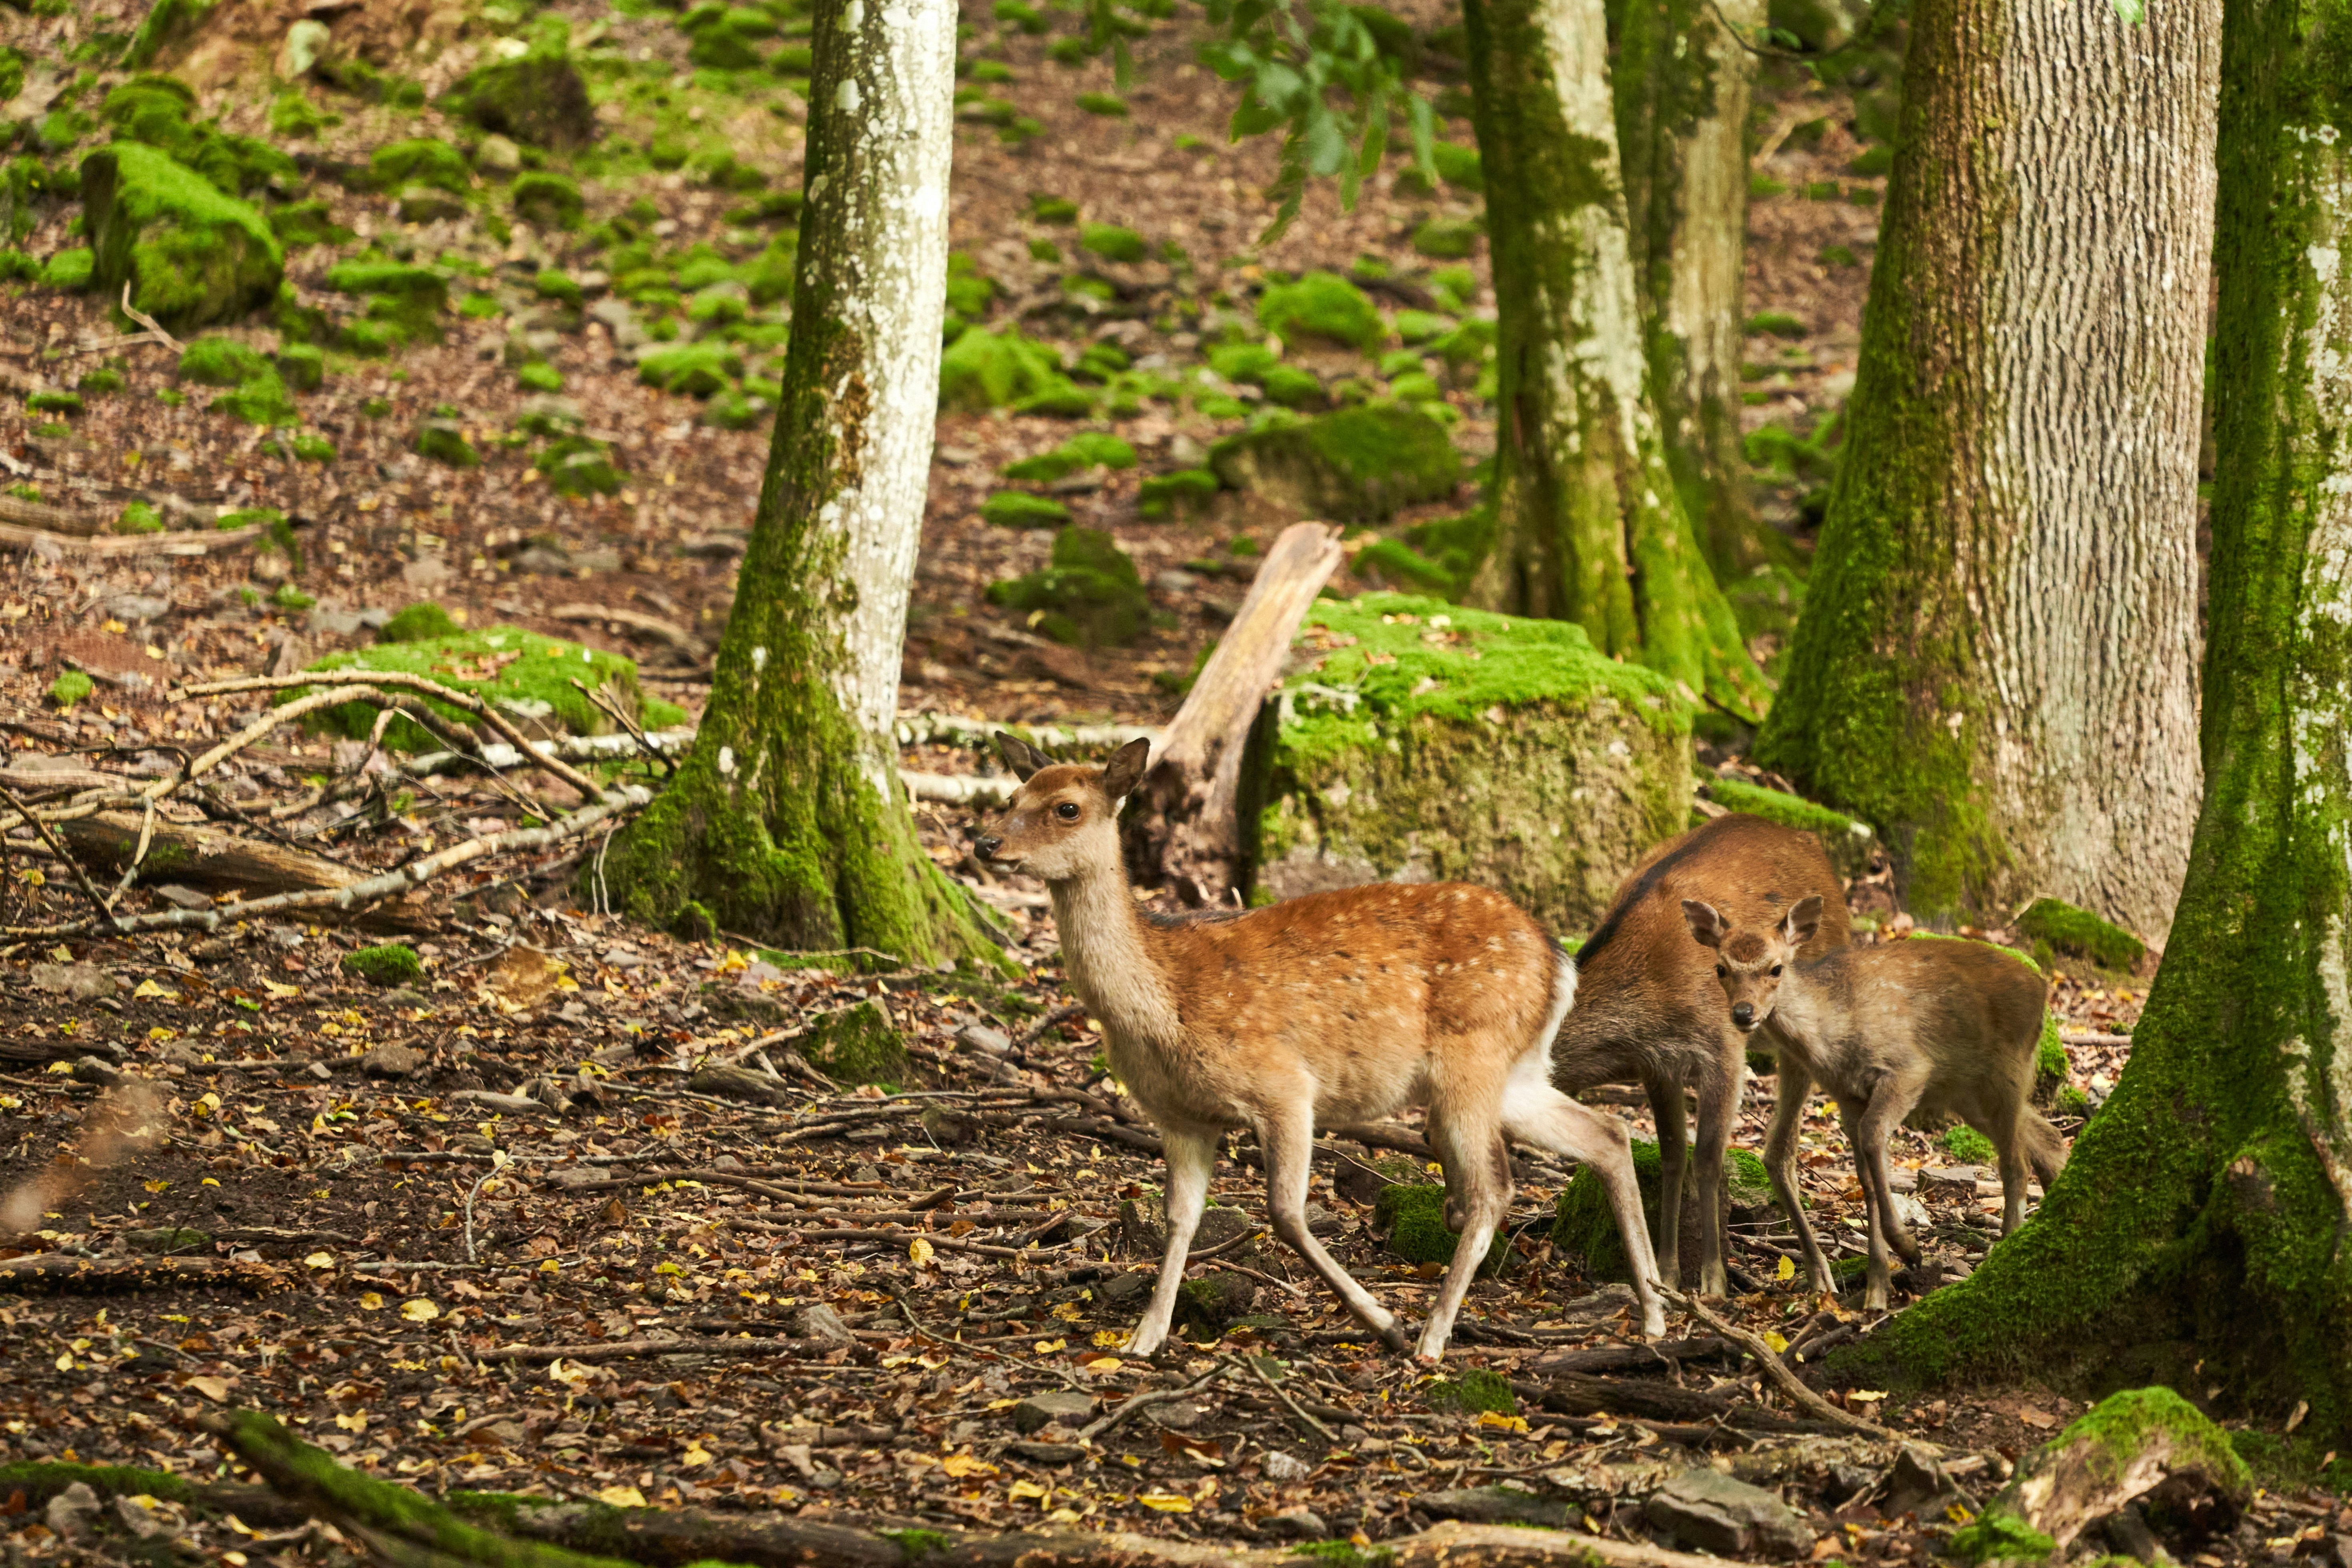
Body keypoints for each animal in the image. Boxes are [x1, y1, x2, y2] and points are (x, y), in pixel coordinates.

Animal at [975, 734, 1668, 1360]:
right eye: (1010, 797)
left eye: (1066, 807)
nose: (986, 843)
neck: (1162, 1006)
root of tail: (1558, 959)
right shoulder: (1180, 1116)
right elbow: (1179, 1218)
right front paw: (1144, 1338)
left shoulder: (1283, 1085)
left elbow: (1284, 1212)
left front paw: (1382, 1321)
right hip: (1515, 1069)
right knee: (1607, 1134)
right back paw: (1656, 1314)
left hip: (1473, 1056)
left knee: (1495, 1188)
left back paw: (1431, 1338)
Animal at [1549, 812, 1850, 1295]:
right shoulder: (1658, 1064)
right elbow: (1674, 1155)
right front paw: (1668, 1272)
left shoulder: (1723, 1049)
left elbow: (1709, 1159)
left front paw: (1712, 1279)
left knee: (1779, 1149)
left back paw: (1821, 1271)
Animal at [1682, 894, 2070, 1310]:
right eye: (1721, 968)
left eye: (1775, 968)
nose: (1743, 1013)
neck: (1832, 1032)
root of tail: (2042, 986)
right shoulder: (1847, 1095)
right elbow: (1866, 1179)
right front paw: (1876, 1290)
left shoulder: (1908, 1068)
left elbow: (1873, 1137)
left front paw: (1908, 1248)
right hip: (1967, 1092)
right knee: (2046, 1137)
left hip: (2007, 1069)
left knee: (2015, 1162)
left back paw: (2006, 1247)